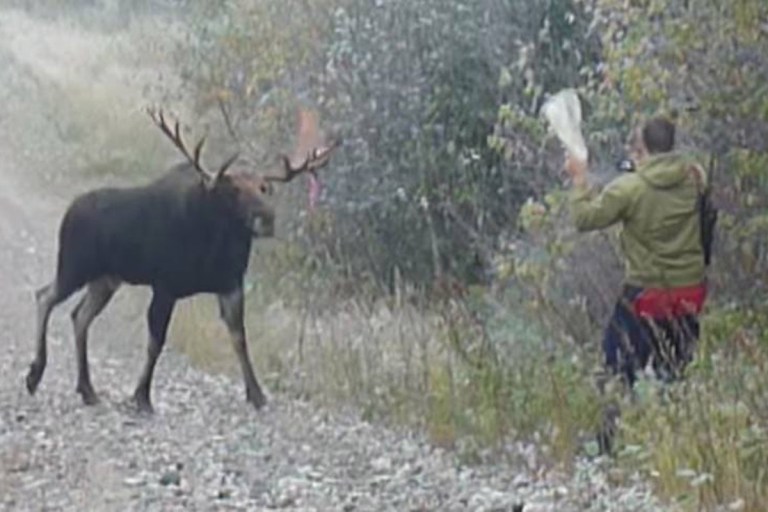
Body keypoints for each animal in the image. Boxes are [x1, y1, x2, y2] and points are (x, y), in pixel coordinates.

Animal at [25, 107, 340, 413]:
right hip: (74, 266)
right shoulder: (165, 285)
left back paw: (87, 389)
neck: (215, 248)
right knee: (45, 296)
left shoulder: (231, 285)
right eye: (234, 190)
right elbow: (156, 341)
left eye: (264, 187)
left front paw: (257, 394)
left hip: (106, 279)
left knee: (79, 316)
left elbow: (239, 339)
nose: (267, 218)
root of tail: (69, 212)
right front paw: (142, 396)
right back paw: (34, 375)